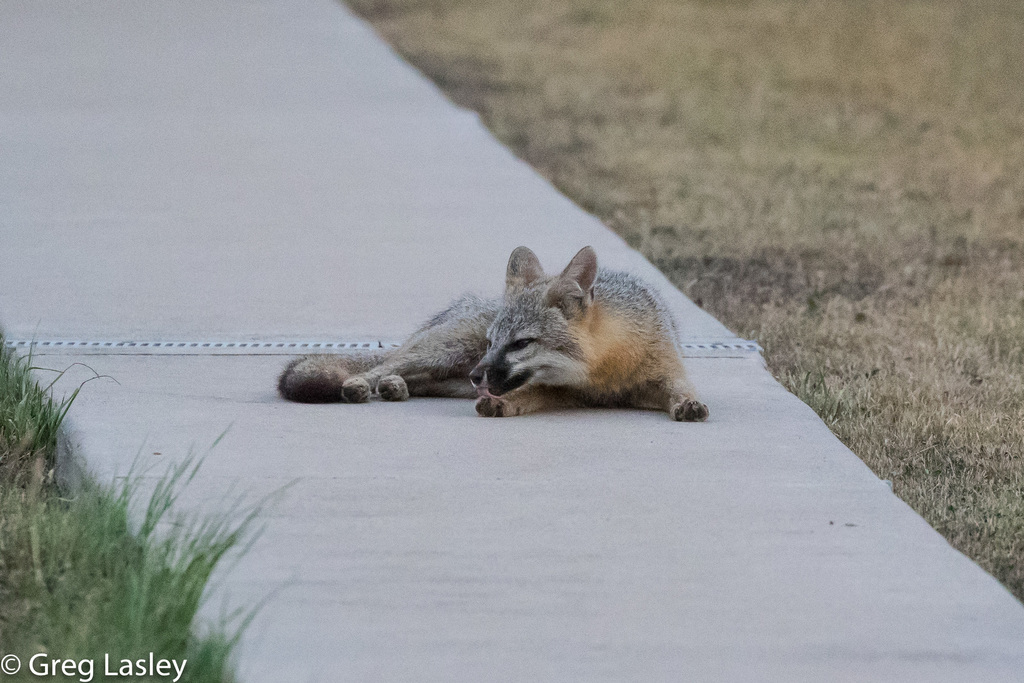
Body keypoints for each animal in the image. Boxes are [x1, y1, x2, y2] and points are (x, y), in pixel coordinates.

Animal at [277, 246, 709, 421]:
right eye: (492, 341)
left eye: (521, 343)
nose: (477, 374)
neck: (602, 375)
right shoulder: (553, 391)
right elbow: (521, 396)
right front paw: (502, 406)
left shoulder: (663, 373)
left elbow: (680, 389)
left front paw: (689, 404)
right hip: (445, 352)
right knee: (383, 364)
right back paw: (364, 384)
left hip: (450, 376)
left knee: (417, 379)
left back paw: (394, 387)